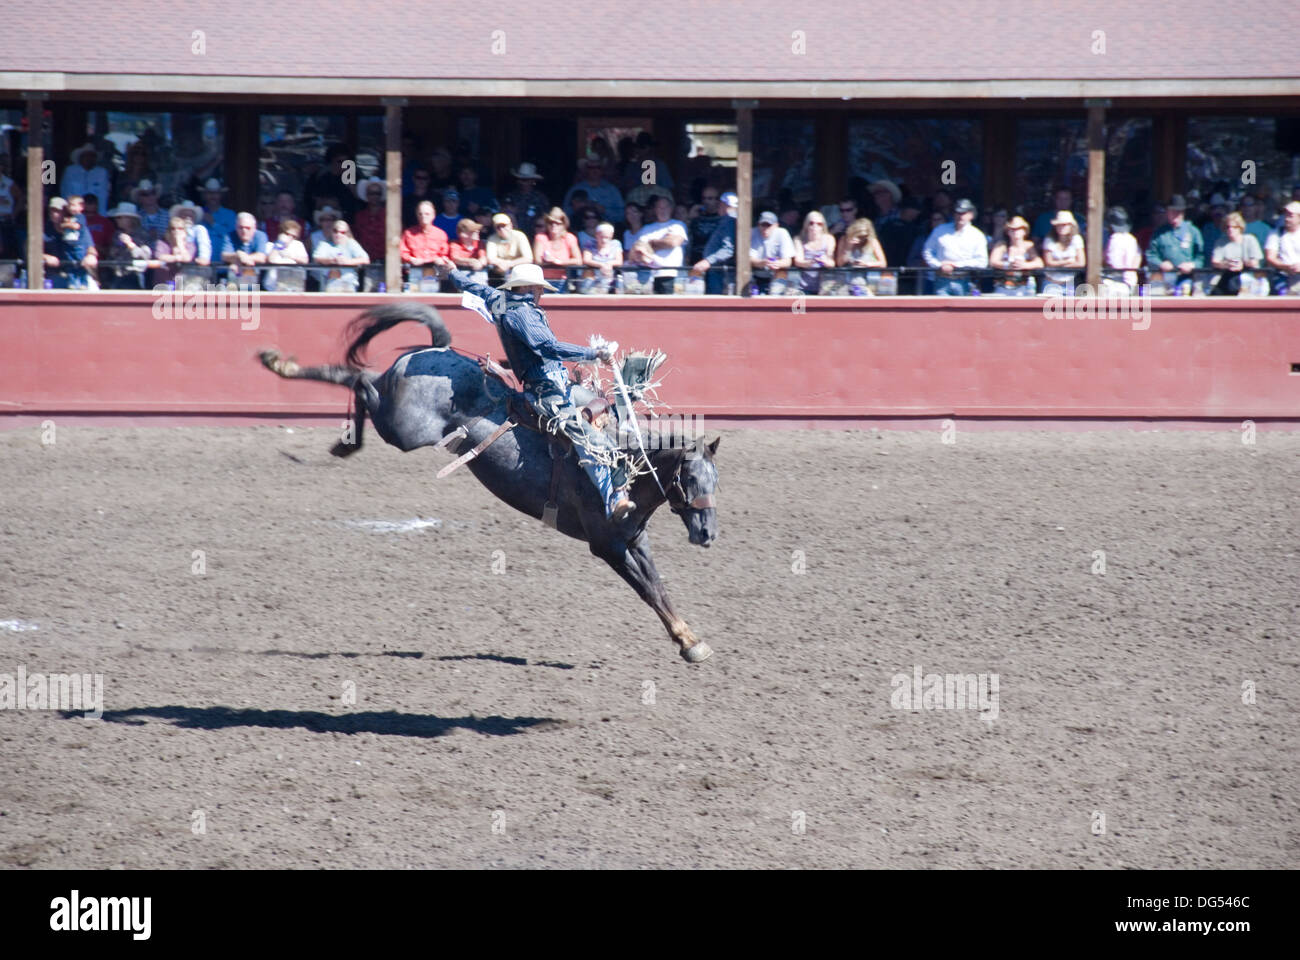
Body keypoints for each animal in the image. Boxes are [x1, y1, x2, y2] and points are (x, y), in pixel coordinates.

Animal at [259, 301, 720, 663]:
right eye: (690, 477)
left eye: (716, 481)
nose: (708, 533)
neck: (622, 468)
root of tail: (439, 349)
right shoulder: (606, 546)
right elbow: (648, 590)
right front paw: (690, 643)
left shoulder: (633, 540)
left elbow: (658, 585)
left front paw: (689, 639)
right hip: (403, 428)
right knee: (360, 382)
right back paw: (319, 410)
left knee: (357, 377)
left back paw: (289, 376)